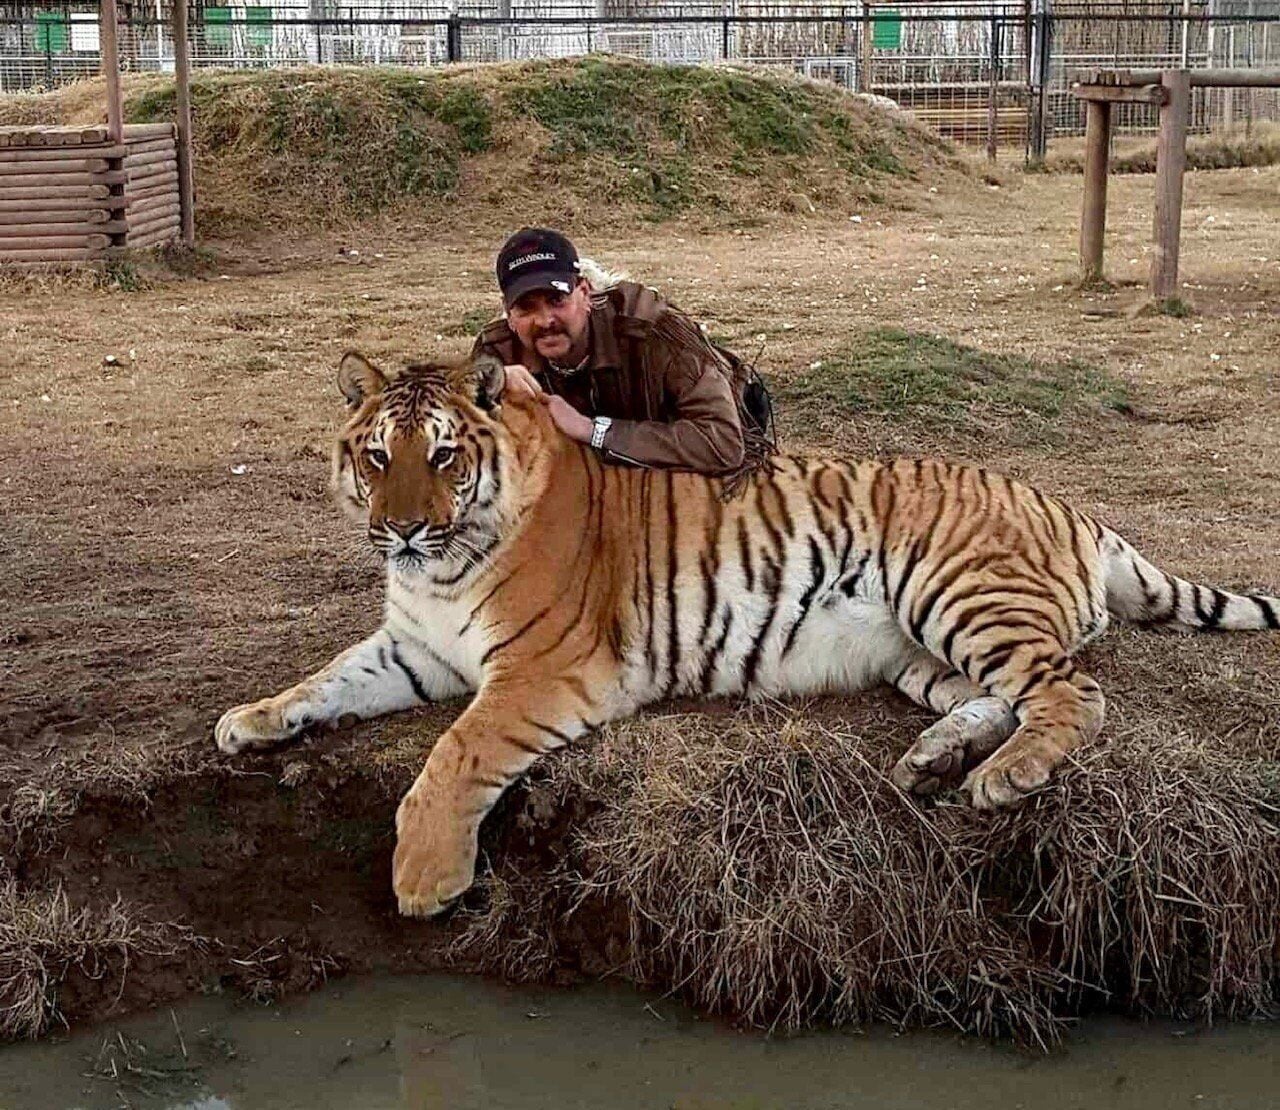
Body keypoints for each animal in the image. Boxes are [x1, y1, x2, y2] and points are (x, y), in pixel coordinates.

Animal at [214, 351, 1280, 919]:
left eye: (441, 457)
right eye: (376, 455)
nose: (397, 528)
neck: (438, 567)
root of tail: (1076, 511)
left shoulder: (546, 669)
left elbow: (455, 753)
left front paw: (425, 877)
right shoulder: (418, 648)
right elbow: (323, 679)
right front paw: (250, 720)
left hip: (961, 592)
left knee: (1072, 693)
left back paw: (1002, 778)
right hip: (920, 653)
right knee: (997, 697)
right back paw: (933, 759)